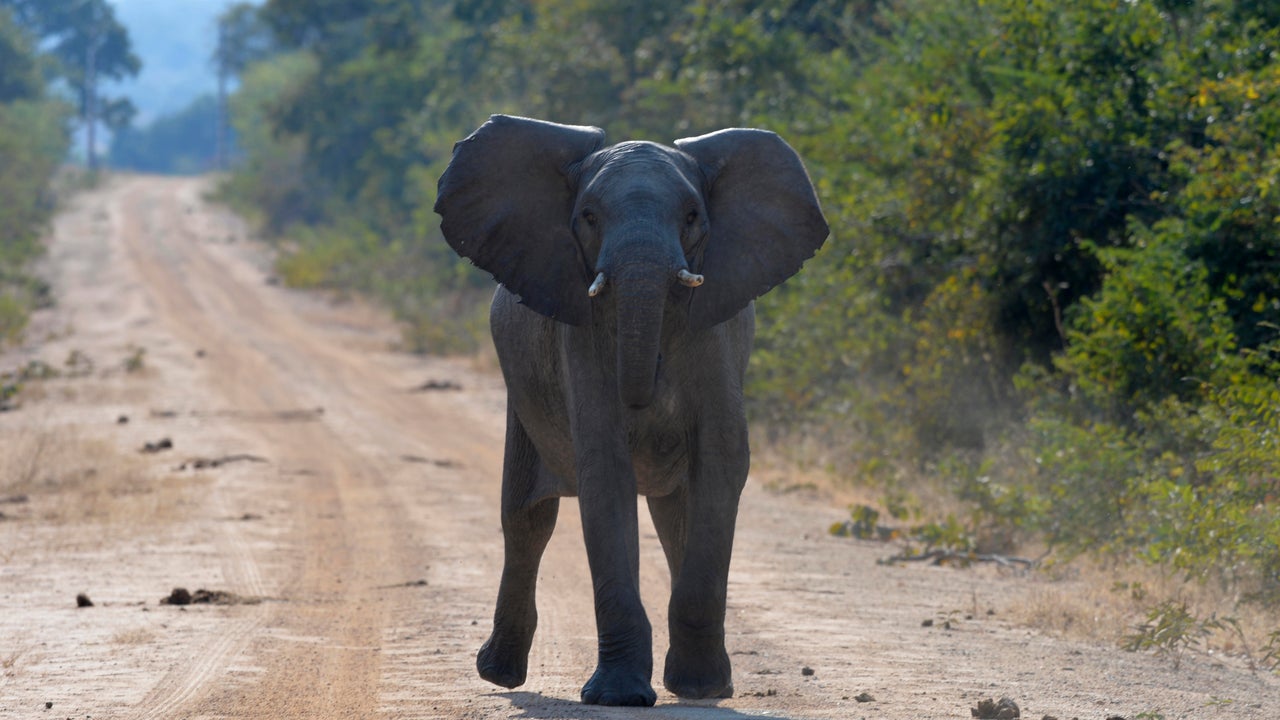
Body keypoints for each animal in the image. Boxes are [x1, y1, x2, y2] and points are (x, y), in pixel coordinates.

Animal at [434, 114, 828, 706]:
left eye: (692, 217)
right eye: (589, 217)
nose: (643, 397)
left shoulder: (716, 333)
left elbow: (721, 459)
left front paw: (698, 686)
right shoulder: (579, 332)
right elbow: (604, 467)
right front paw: (618, 696)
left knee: (671, 515)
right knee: (526, 520)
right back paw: (498, 674)